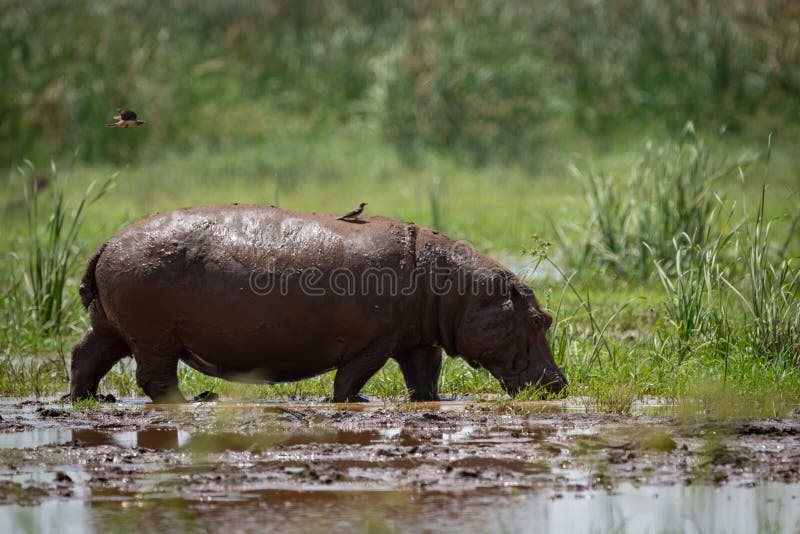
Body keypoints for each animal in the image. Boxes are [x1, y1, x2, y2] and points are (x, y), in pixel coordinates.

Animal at [70, 205, 567, 403]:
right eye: (541, 319)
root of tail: (107, 242)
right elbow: (350, 378)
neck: (458, 289)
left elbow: (425, 374)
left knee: (85, 355)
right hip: (153, 337)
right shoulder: (375, 343)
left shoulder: (415, 339)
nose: (560, 383)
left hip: (114, 328)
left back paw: (89, 399)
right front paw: (359, 401)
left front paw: (433, 400)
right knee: (154, 378)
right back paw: (192, 402)